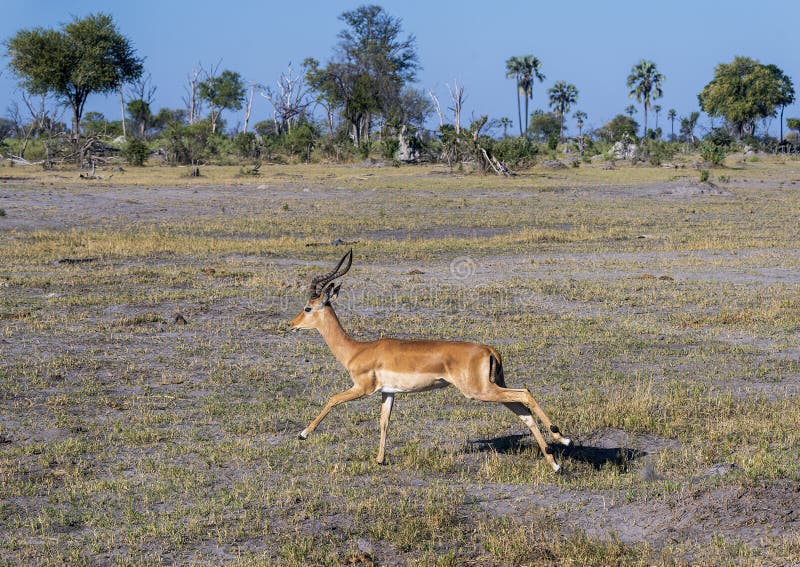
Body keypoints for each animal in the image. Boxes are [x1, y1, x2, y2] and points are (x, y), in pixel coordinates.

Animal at [289, 250, 572, 472]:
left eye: (307, 307)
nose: (291, 325)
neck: (357, 350)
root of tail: (489, 349)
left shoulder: (362, 388)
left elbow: (332, 399)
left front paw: (303, 434)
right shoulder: (388, 393)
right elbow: (384, 422)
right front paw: (379, 459)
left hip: (479, 391)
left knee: (525, 393)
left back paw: (563, 439)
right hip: (493, 387)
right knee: (523, 412)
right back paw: (555, 462)